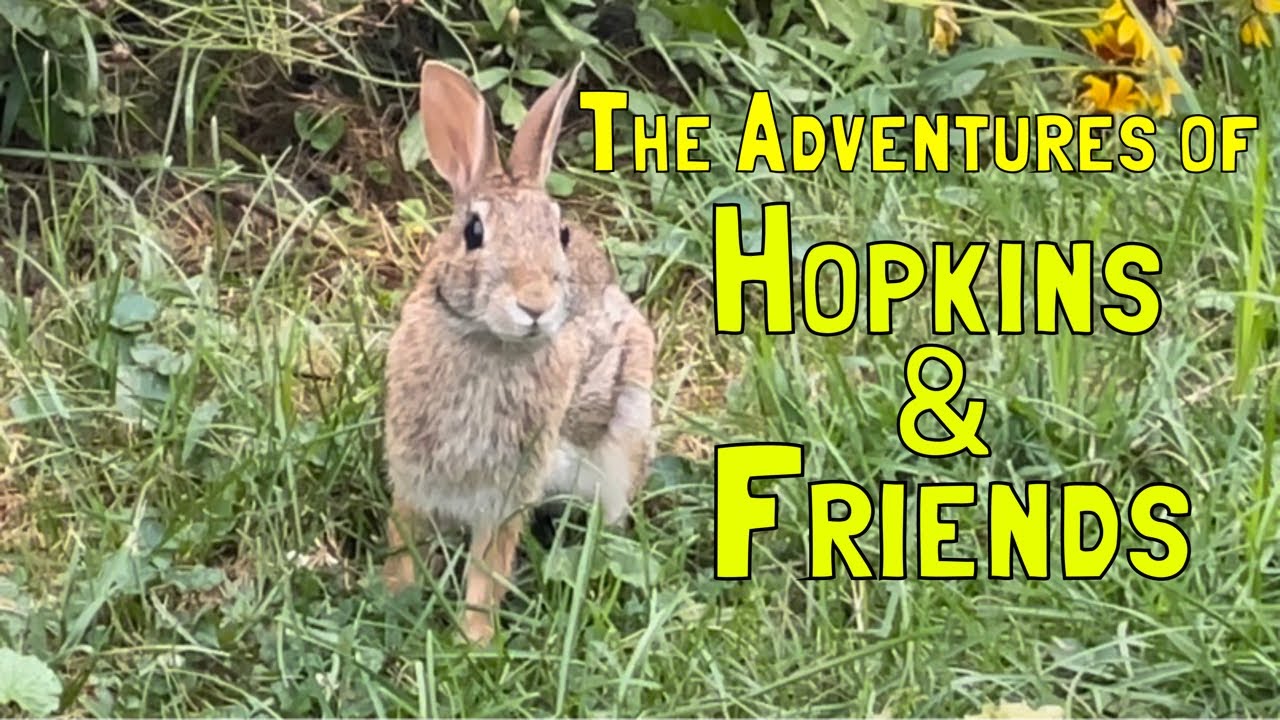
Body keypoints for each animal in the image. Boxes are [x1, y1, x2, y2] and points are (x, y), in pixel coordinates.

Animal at [381, 57, 655, 646]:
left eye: (561, 233)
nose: (535, 304)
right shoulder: (413, 475)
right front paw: (393, 597)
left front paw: (475, 639)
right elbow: (404, 541)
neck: (489, 343)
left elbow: (488, 568)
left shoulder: (507, 492)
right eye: (474, 231)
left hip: (625, 429)